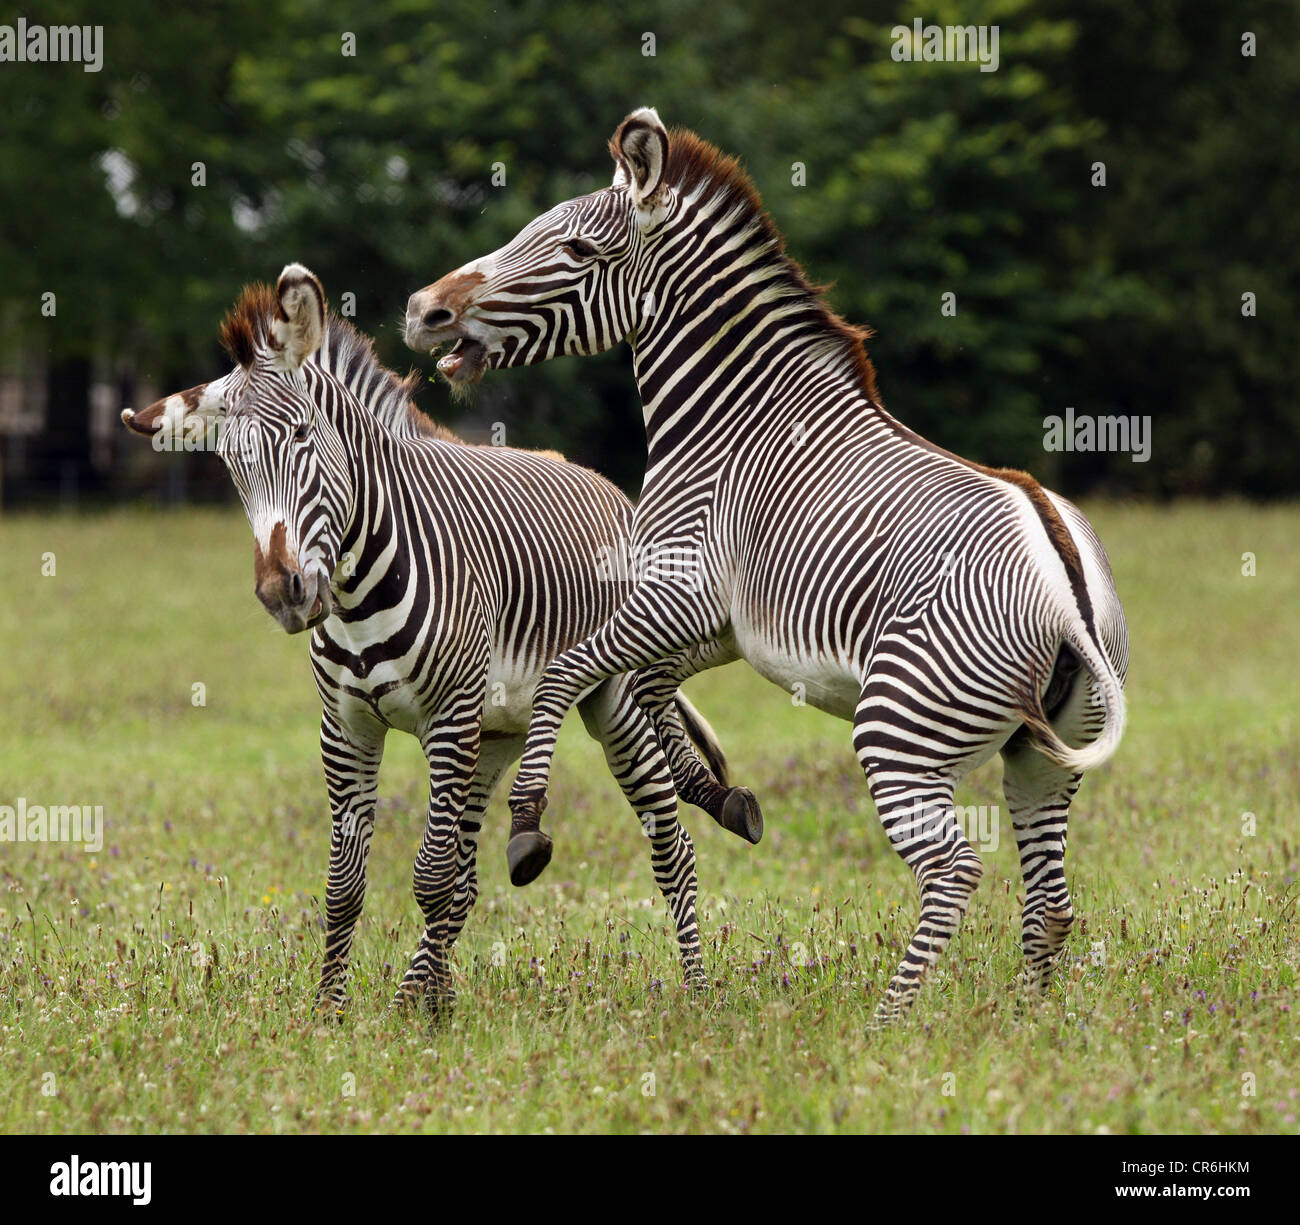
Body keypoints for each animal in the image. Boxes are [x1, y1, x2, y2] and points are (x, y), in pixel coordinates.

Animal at [120, 262, 749, 1016]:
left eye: (301, 436)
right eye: (233, 466)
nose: (282, 593)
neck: (358, 592)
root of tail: (605, 487)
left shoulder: (446, 721)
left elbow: (428, 875)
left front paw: (406, 1011)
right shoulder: (347, 727)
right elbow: (349, 884)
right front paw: (335, 1012)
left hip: (612, 703)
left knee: (671, 845)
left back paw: (698, 990)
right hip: (496, 732)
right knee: (470, 877)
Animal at [403, 109, 1130, 1025]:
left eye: (573, 249)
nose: (424, 310)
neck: (733, 418)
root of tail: (1063, 580)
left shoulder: (676, 590)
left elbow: (567, 673)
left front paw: (529, 822)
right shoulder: (719, 623)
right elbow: (645, 690)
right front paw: (716, 795)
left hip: (902, 728)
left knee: (954, 870)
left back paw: (888, 1025)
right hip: (1042, 755)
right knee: (1051, 903)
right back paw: (1027, 1021)